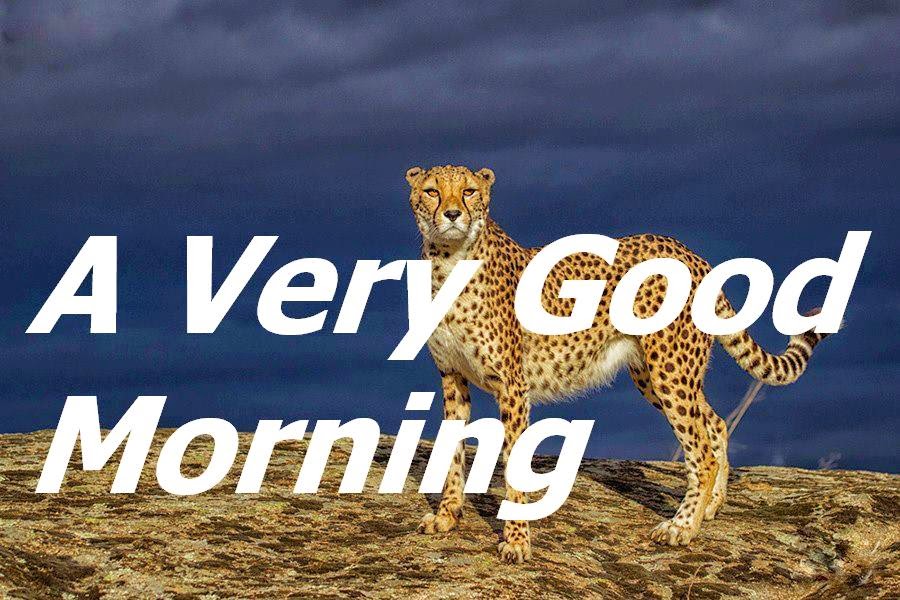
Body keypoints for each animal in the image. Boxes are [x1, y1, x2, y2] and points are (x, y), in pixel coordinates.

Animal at [406, 164, 832, 563]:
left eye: (468, 191)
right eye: (432, 191)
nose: (453, 214)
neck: (449, 262)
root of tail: (690, 253)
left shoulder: (513, 385)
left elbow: (513, 464)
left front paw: (516, 542)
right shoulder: (452, 376)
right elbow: (450, 453)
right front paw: (447, 516)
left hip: (670, 370)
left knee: (701, 450)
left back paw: (682, 527)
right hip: (655, 374)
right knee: (715, 423)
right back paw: (710, 507)